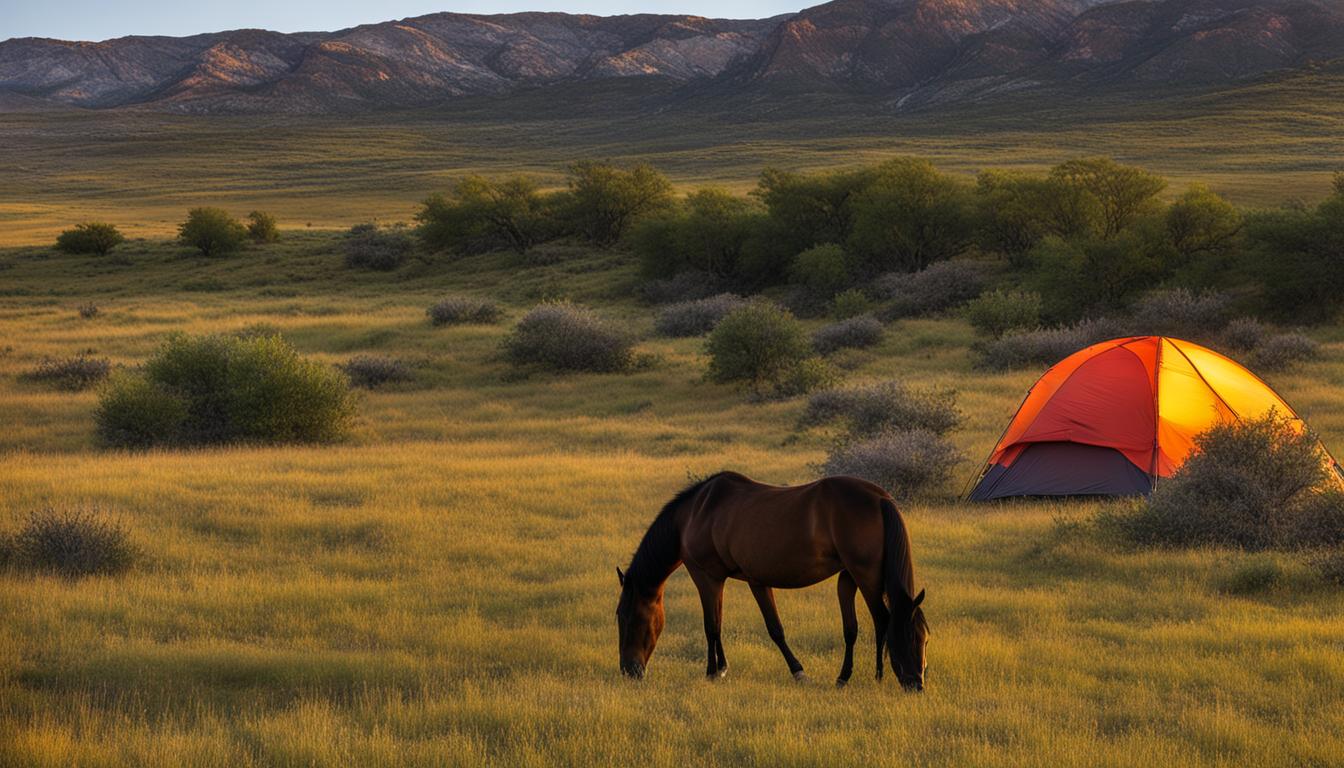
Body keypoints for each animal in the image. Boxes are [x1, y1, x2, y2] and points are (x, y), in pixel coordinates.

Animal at [615, 471, 928, 690]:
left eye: (628, 618)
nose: (629, 671)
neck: (696, 513)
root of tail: (880, 498)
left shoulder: (706, 576)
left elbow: (715, 626)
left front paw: (713, 672)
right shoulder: (750, 579)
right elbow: (738, 624)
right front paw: (723, 668)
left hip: (866, 574)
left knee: (883, 619)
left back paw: (881, 675)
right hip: (855, 574)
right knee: (869, 623)